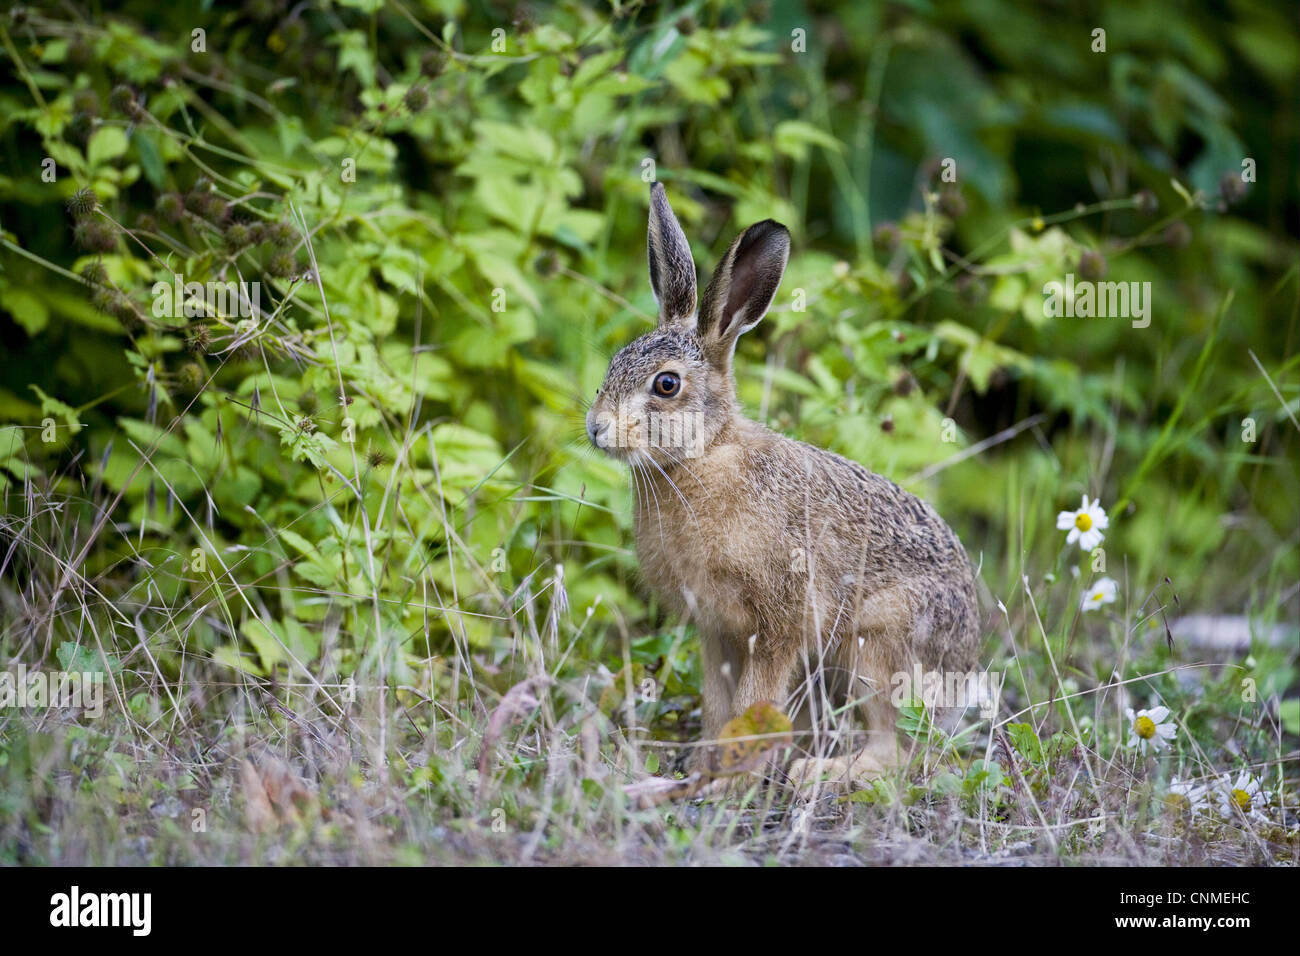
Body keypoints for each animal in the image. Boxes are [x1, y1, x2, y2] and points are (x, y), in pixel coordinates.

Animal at [585, 183, 980, 786]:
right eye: (613, 363)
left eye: (666, 385)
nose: (597, 428)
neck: (704, 456)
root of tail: (968, 658)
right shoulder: (717, 631)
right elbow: (720, 704)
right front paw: (703, 765)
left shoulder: (780, 623)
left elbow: (754, 702)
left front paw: (731, 779)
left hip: (878, 644)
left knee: (897, 748)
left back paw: (823, 773)